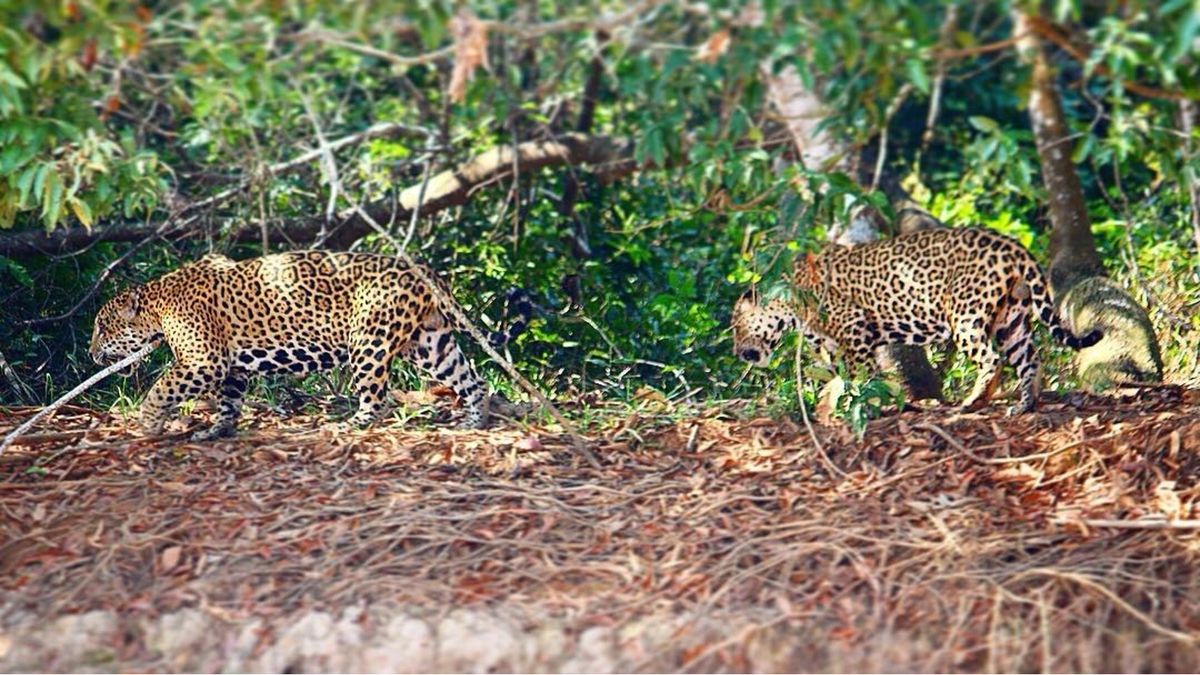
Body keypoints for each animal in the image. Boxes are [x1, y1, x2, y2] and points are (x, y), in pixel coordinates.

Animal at [90, 250, 532, 440]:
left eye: (101, 327)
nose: (91, 354)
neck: (157, 305)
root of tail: (422, 268)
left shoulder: (203, 361)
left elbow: (161, 388)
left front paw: (148, 424)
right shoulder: (231, 366)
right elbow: (229, 400)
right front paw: (218, 430)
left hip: (369, 339)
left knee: (378, 398)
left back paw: (350, 424)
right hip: (429, 341)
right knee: (472, 379)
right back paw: (475, 421)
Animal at [731, 227, 1103, 414]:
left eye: (736, 327)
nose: (737, 352)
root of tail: (1013, 245)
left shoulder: (854, 328)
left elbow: (862, 375)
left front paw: (869, 403)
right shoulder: (833, 344)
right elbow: (842, 377)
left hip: (965, 315)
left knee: (992, 359)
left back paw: (973, 401)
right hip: (1010, 319)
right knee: (1029, 359)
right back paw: (1026, 404)